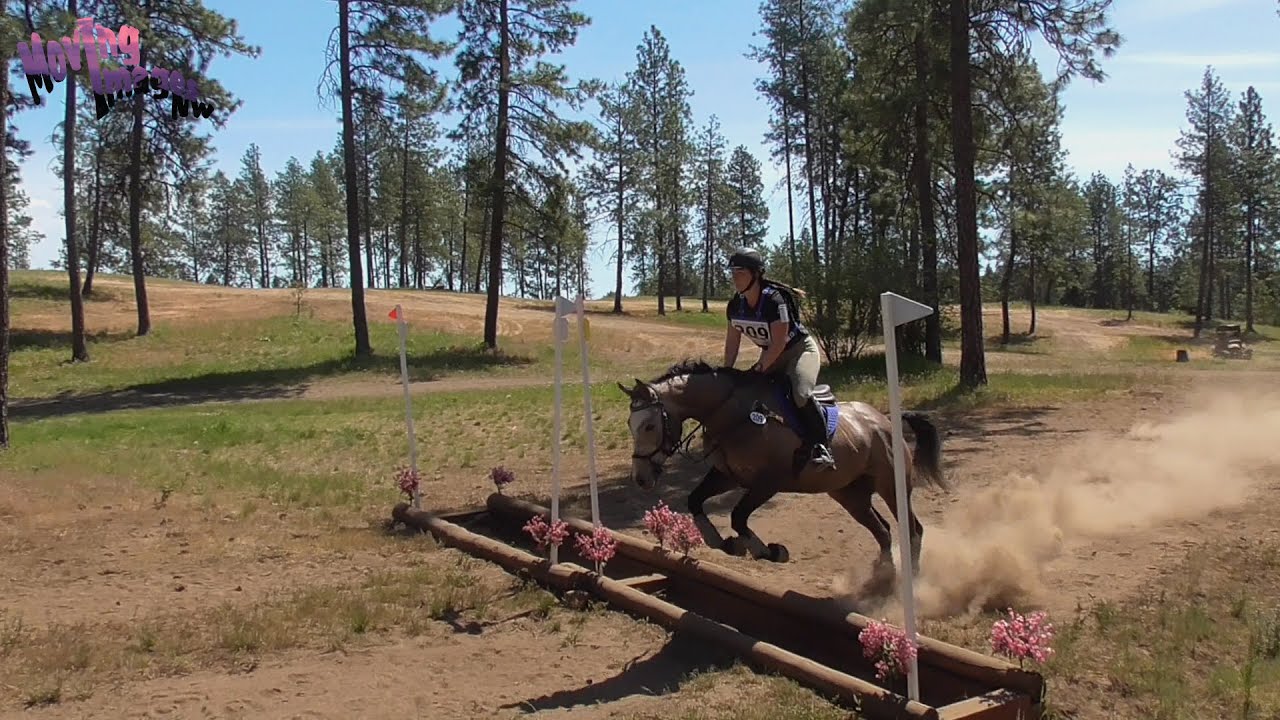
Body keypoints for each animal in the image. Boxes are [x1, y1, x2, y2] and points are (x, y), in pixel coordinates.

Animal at [617, 359, 949, 575]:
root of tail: (886, 419)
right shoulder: (728, 475)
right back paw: (883, 578)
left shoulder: (768, 483)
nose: (641, 478)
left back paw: (910, 580)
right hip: (850, 495)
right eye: (630, 425)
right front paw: (722, 543)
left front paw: (769, 551)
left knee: (913, 529)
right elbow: (695, 500)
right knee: (882, 531)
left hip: (891, 485)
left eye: (648, 426)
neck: (731, 414)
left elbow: (738, 516)